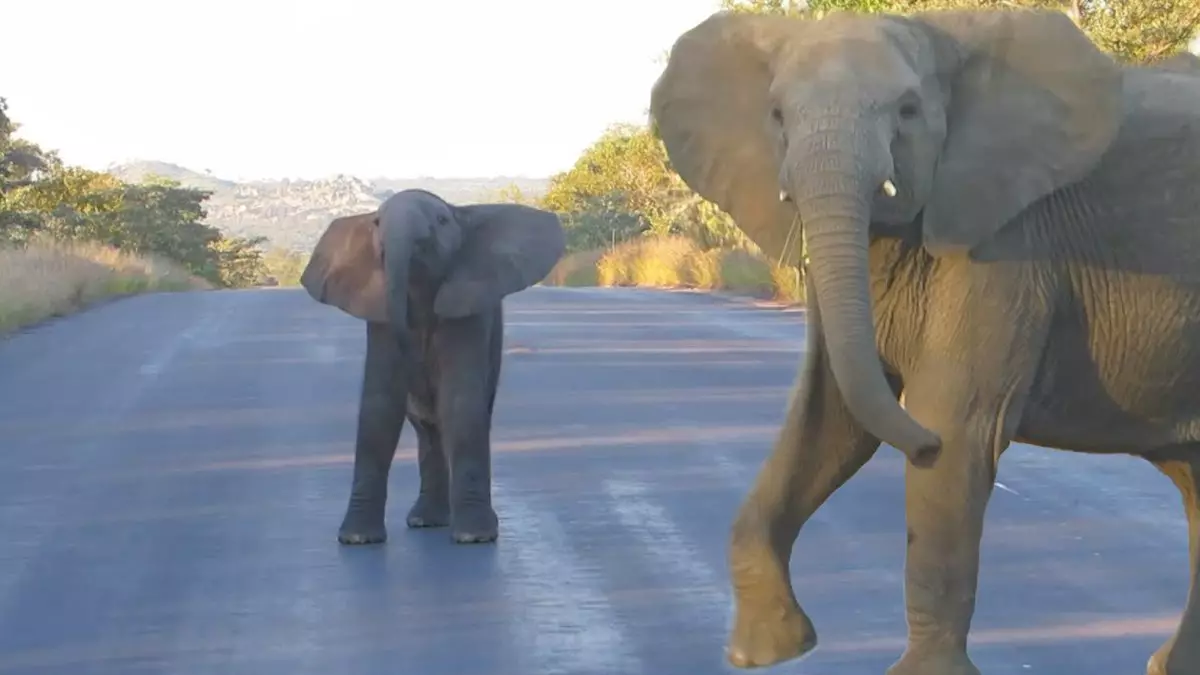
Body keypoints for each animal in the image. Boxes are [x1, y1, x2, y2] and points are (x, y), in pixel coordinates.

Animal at [297, 187, 564, 540]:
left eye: (441, 221)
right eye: (377, 223)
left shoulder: (467, 306)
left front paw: (474, 537)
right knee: (428, 433)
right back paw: (426, 520)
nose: (417, 369)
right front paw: (357, 538)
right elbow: (379, 405)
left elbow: (459, 401)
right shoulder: (379, 313)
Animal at [652, 6, 1200, 672]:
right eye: (777, 114)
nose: (920, 446)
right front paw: (767, 652)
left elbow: (958, 424)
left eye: (909, 110)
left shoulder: (1009, 242)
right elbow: (829, 418)